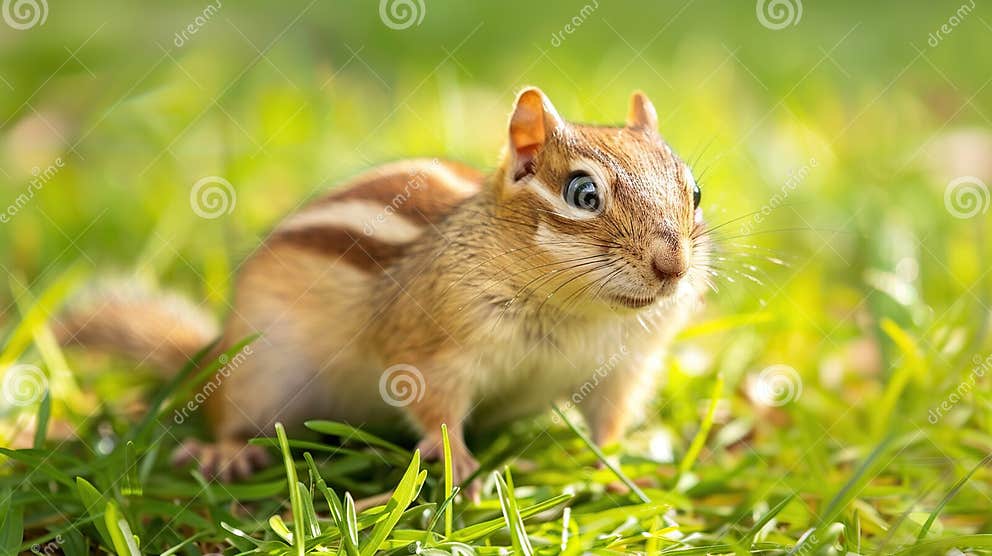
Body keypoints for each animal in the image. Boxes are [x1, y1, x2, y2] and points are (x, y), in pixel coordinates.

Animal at [58, 87, 710, 490]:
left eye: (695, 191)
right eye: (583, 193)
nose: (672, 266)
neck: (578, 312)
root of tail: (211, 353)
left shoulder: (625, 368)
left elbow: (608, 424)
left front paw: (623, 471)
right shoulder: (429, 347)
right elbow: (436, 409)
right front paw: (463, 467)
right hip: (259, 375)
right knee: (226, 414)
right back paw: (228, 450)